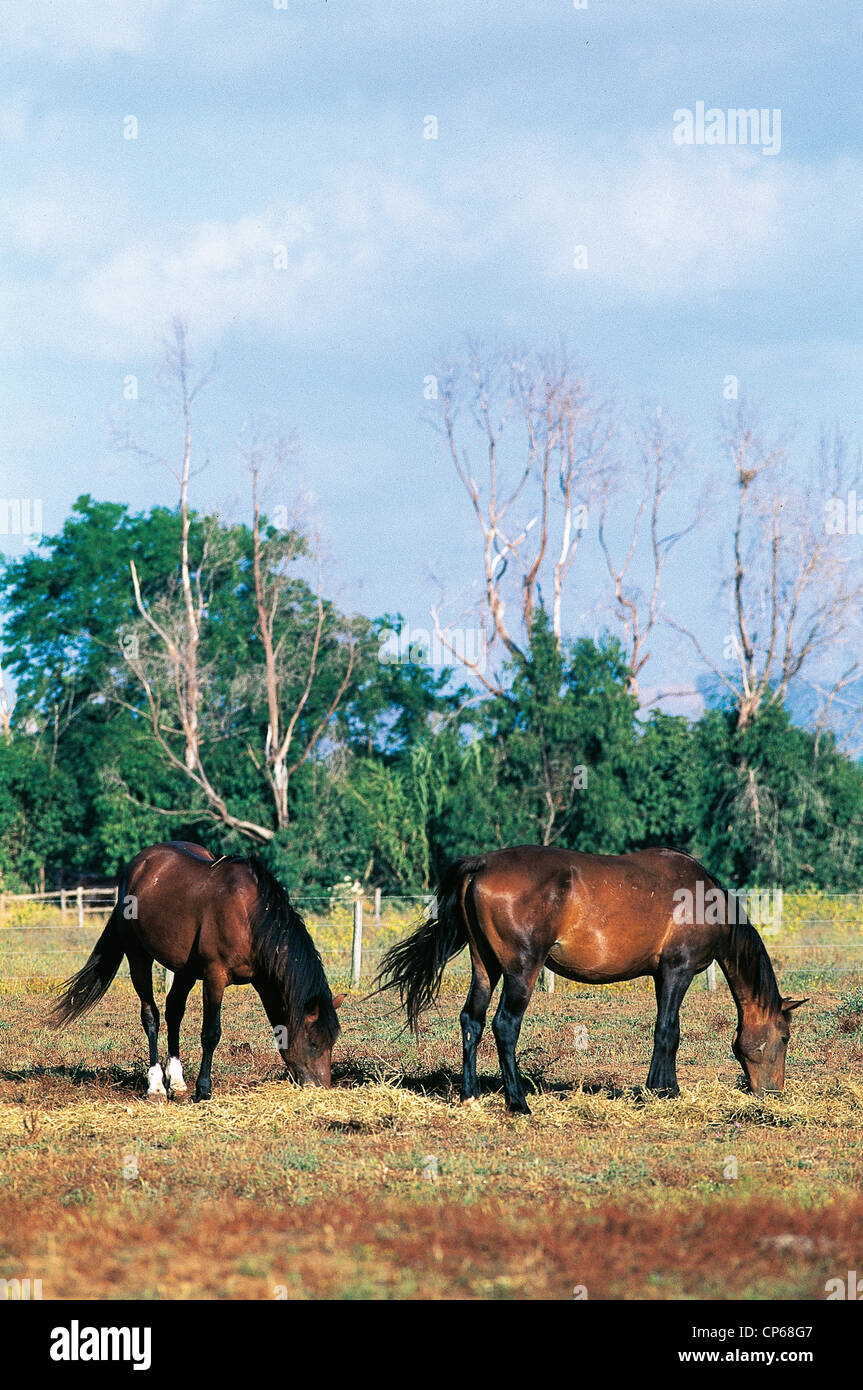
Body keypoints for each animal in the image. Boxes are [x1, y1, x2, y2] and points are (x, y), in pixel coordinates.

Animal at [51, 841, 343, 1100]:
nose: (321, 1087)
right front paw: (203, 1089)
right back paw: (156, 1085)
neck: (250, 917)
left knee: (174, 1011)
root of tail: (139, 864)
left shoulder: (260, 981)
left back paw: (177, 1081)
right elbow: (210, 1033)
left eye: (332, 1042)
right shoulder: (214, 978)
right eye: (313, 1041)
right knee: (151, 1015)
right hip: (138, 958)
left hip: (185, 970)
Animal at [376, 844, 806, 1114]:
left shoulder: (660, 975)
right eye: (784, 1038)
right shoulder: (677, 970)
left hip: (486, 967)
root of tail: (480, 864)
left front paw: (663, 1088)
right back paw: (519, 1103)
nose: (773, 1093)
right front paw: (662, 1091)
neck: (703, 898)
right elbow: (668, 1030)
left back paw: (471, 1096)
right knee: (504, 1025)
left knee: (473, 1020)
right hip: (521, 970)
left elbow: (665, 1029)